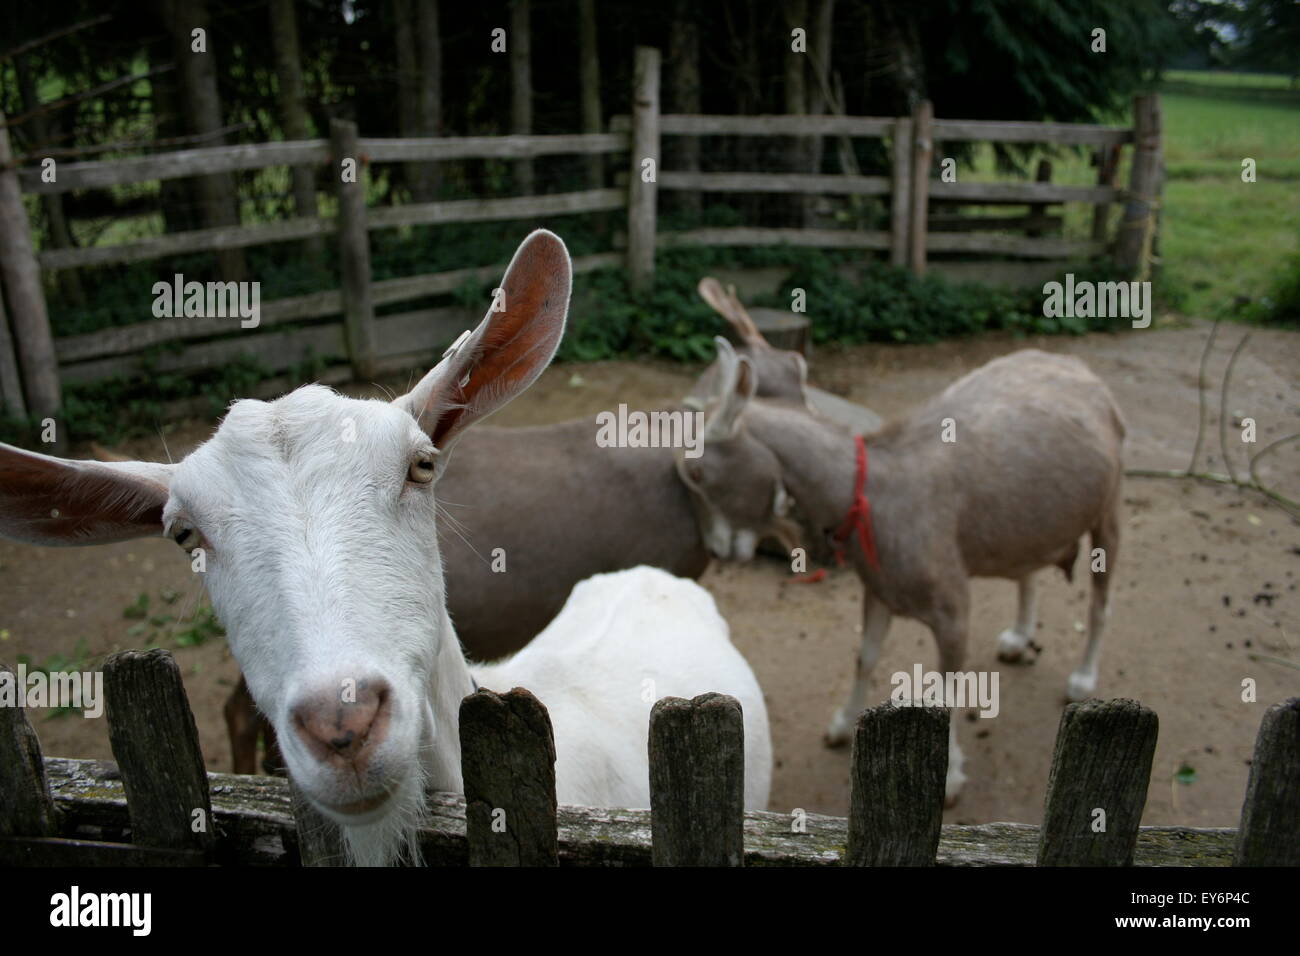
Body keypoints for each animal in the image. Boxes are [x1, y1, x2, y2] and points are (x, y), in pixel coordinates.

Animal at [677, 339, 1125, 802]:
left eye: (697, 472)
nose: (718, 549)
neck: (874, 490)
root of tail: (1075, 367)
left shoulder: (952, 608)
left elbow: (947, 686)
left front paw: (950, 778)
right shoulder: (878, 590)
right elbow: (866, 657)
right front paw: (841, 724)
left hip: (1109, 506)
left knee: (1101, 601)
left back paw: (1082, 677)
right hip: (1028, 525)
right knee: (1028, 571)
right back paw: (1019, 637)